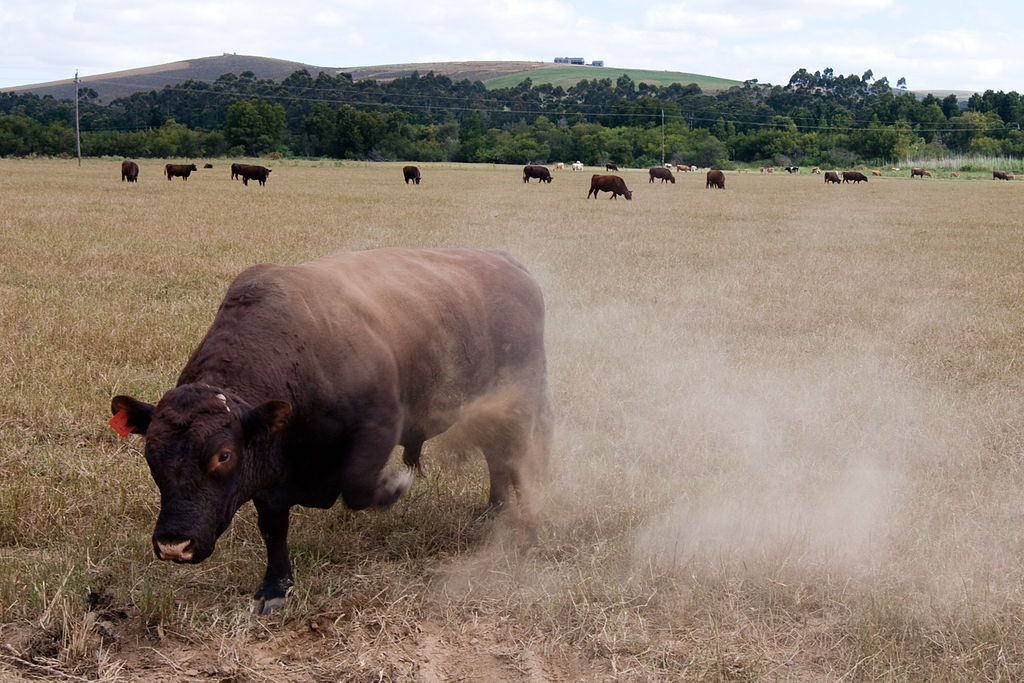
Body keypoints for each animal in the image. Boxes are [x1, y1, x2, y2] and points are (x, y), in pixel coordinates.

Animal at [109, 248, 552, 614]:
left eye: (223, 455)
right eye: (151, 455)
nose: (173, 545)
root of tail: (513, 267)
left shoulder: (379, 425)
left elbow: (357, 488)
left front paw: (396, 485)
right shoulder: (271, 473)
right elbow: (274, 529)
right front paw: (275, 587)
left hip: (521, 399)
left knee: (518, 456)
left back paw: (526, 523)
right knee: (497, 456)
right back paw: (494, 510)